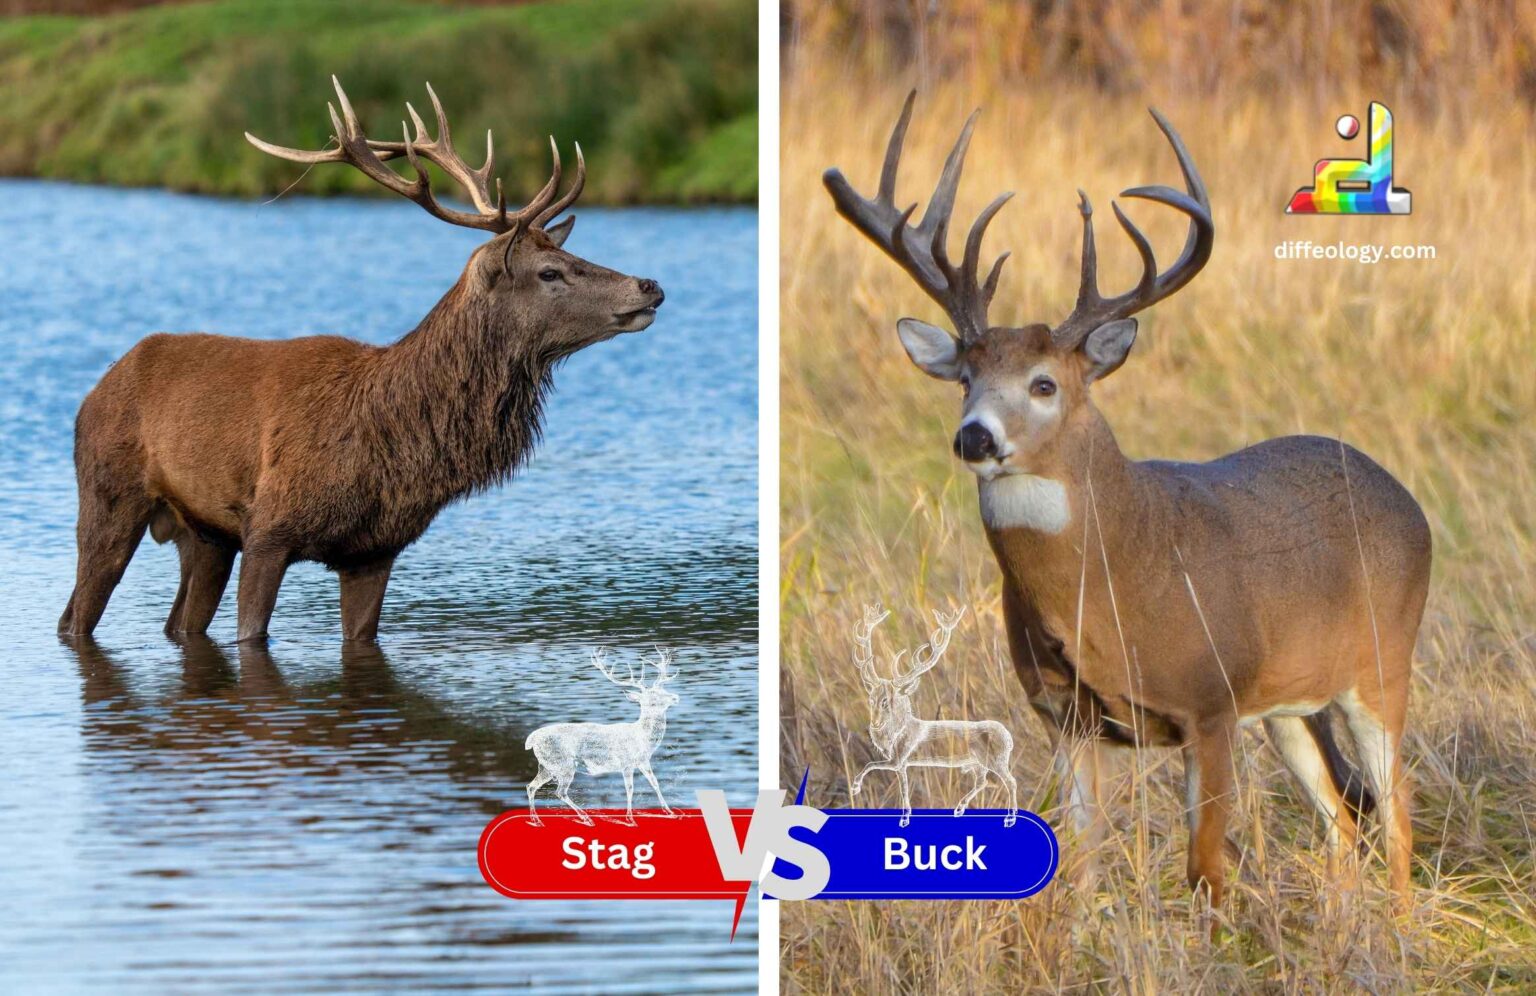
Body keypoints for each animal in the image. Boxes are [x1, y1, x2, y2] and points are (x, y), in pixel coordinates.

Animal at [57, 78, 665, 644]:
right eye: (549, 271)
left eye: (567, 253)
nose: (650, 285)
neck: (386, 443)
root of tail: (93, 393)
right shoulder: (268, 530)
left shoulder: (375, 551)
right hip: (108, 494)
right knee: (77, 614)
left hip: (205, 535)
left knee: (175, 622)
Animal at [525, 647, 679, 826]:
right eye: (652, 699)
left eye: (663, 690)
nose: (676, 697)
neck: (642, 739)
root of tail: (532, 739)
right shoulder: (626, 763)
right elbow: (630, 788)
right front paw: (630, 819)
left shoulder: (643, 761)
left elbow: (655, 783)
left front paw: (669, 812)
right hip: (563, 764)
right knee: (559, 791)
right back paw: (586, 818)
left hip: (546, 766)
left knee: (531, 786)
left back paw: (536, 820)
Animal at [849, 604, 1018, 828]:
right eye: (871, 700)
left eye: (887, 701)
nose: (874, 724)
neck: (896, 735)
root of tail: (1009, 738)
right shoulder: (902, 764)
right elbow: (903, 789)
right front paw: (905, 817)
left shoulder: (899, 757)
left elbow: (871, 765)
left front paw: (855, 787)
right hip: (978, 763)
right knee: (982, 782)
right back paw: (959, 808)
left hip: (996, 760)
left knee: (1011, 781)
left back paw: (1009, 817)